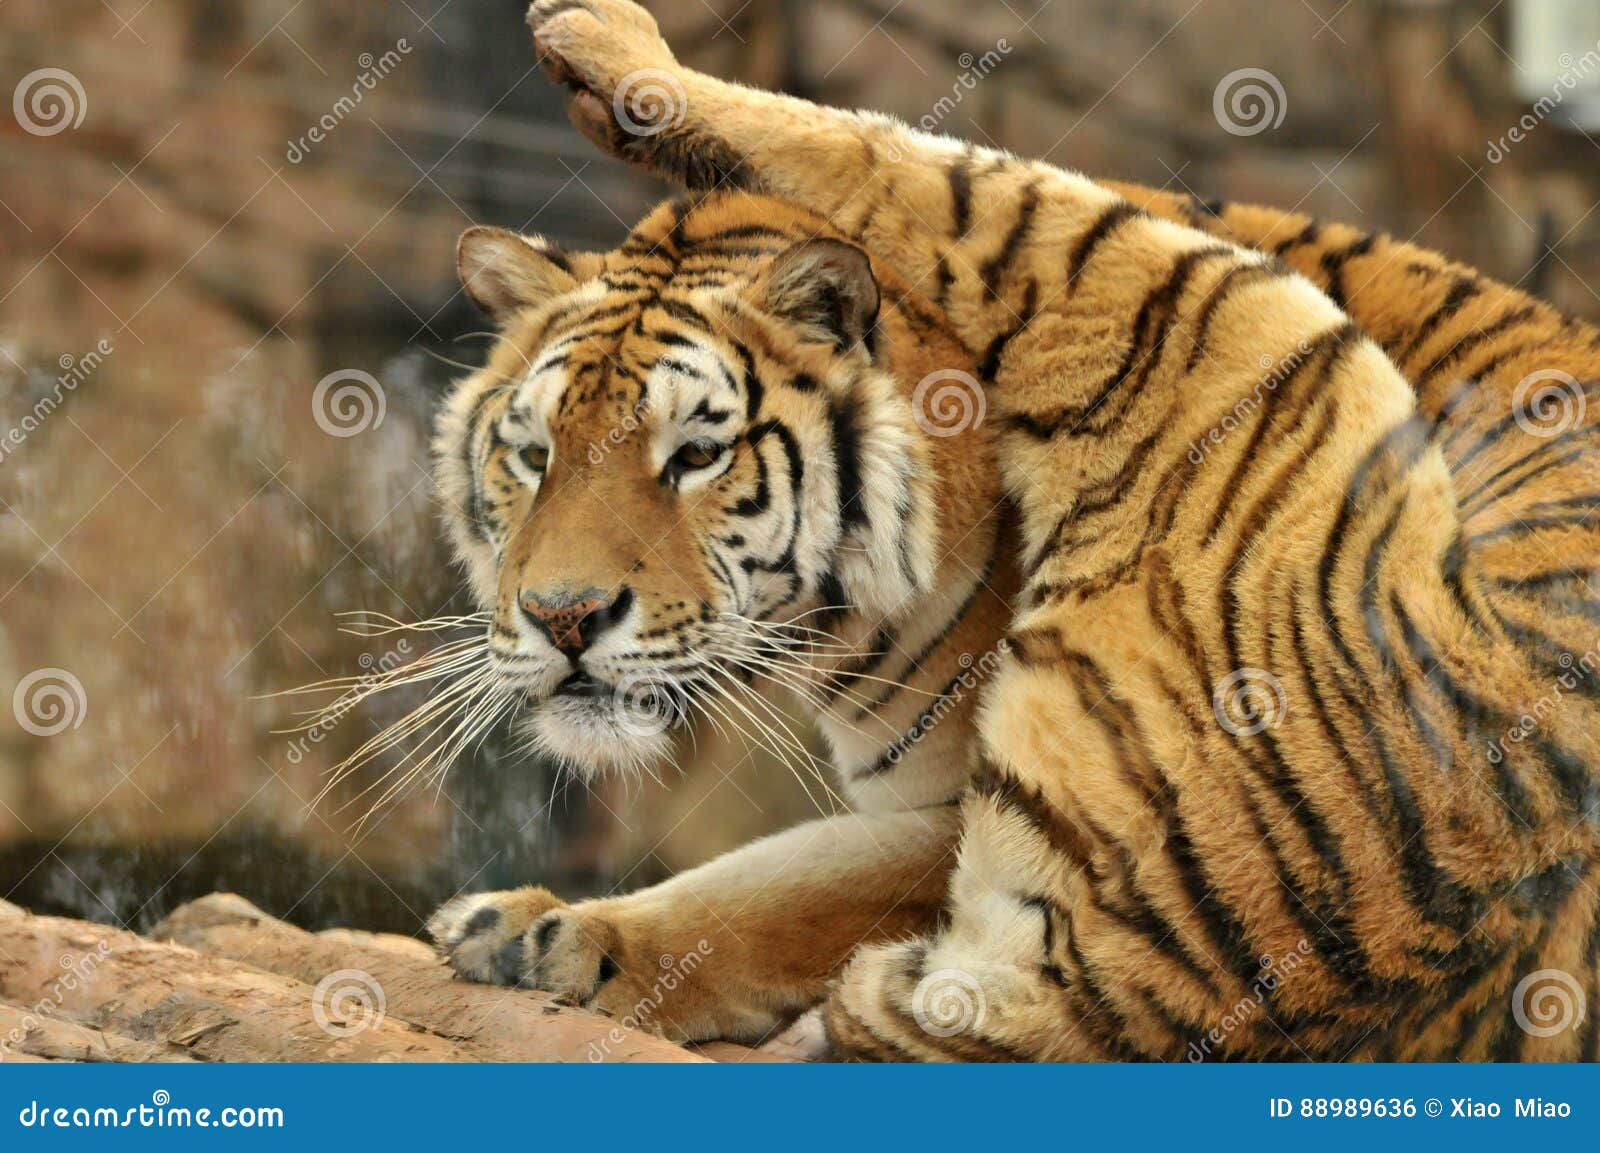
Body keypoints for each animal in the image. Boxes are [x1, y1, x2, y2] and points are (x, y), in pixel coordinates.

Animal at [424, 0, 1600, 1061]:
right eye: (535, 456)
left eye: (697, 456)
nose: (563, 618)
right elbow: (782, 882)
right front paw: (538, 932)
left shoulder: (943, 809)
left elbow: (781, 893)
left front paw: (553, 939)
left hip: (1217, 318)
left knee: (937, 172)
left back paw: (601, 40)